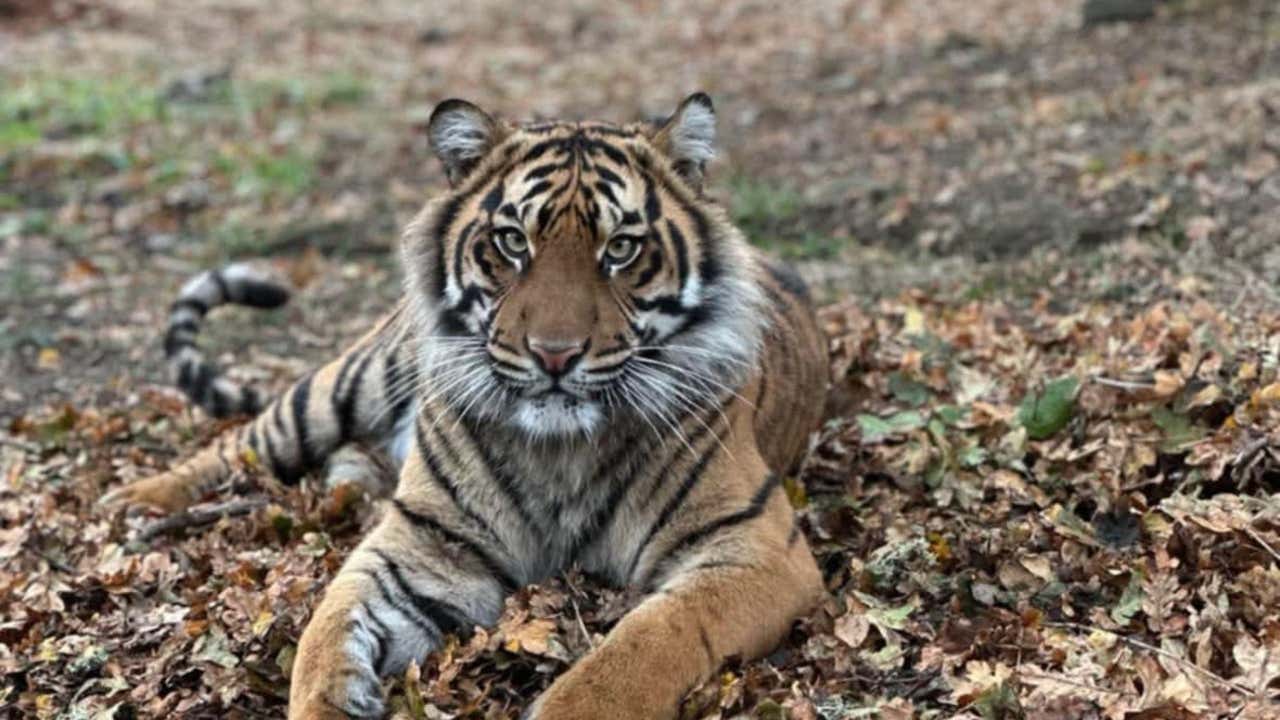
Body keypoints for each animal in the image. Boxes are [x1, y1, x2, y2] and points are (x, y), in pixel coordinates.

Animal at [102, 93, 830, 720]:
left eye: (620, 249)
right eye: (513, 242)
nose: (556, 355)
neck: (561, 451)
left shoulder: (756, 546)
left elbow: (648, 644)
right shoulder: (423, 545)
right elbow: (324, 635)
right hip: (355, 379)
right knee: (246, 440)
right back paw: (136, 500)